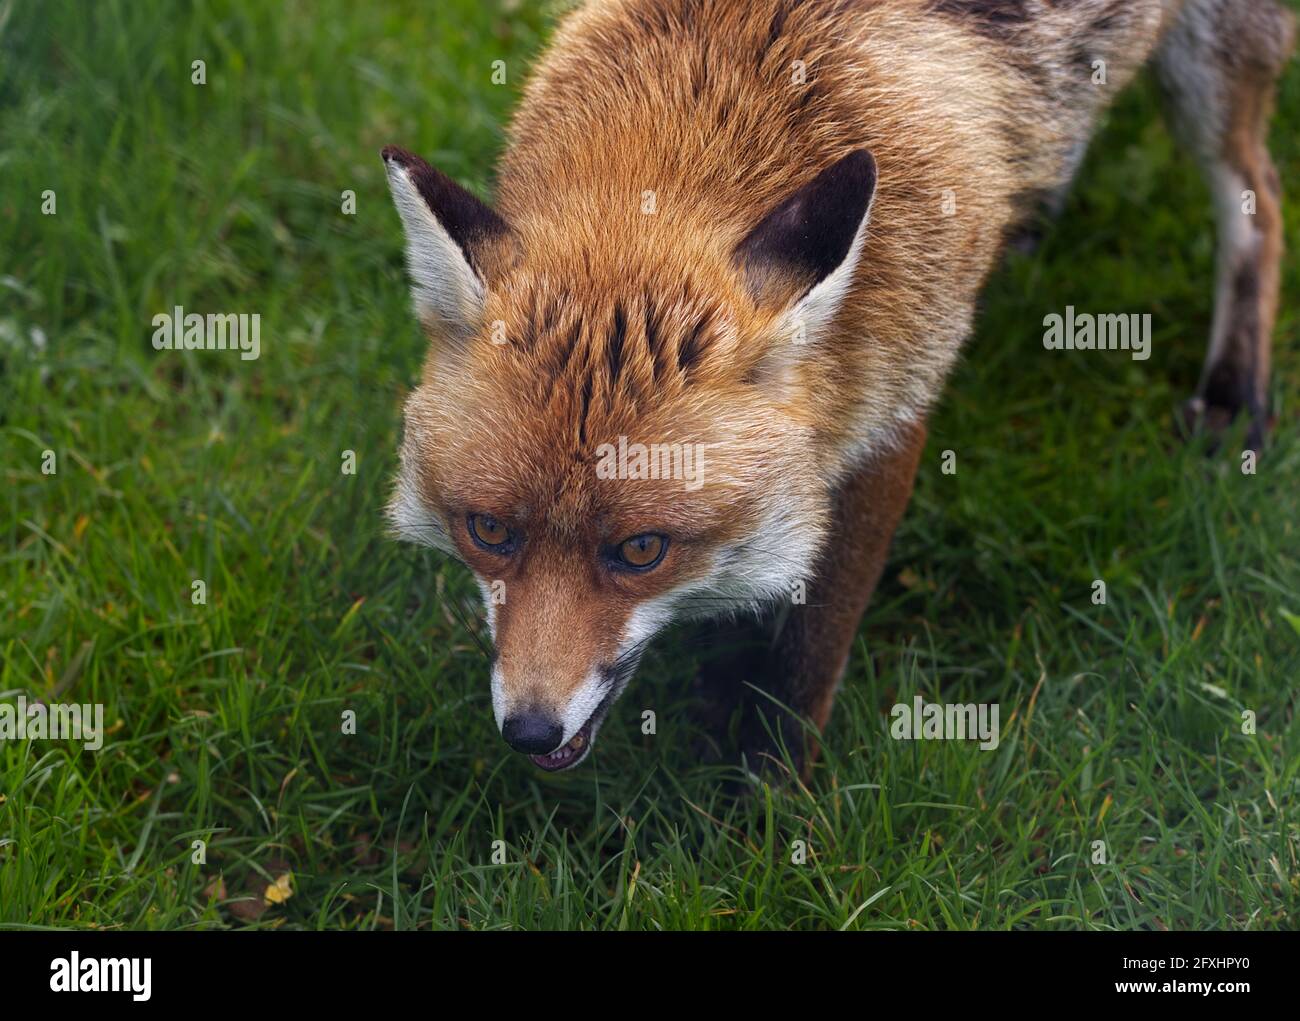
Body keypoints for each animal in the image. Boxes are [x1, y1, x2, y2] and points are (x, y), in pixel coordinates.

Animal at [381, 0, 1294, 778]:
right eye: (488, 530)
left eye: (641, 550)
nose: (531, 731)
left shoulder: (890, 407)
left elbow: (812, 643)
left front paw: (767, 795)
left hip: (1210, 68)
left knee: (1260, 195)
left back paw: (1234, 391)